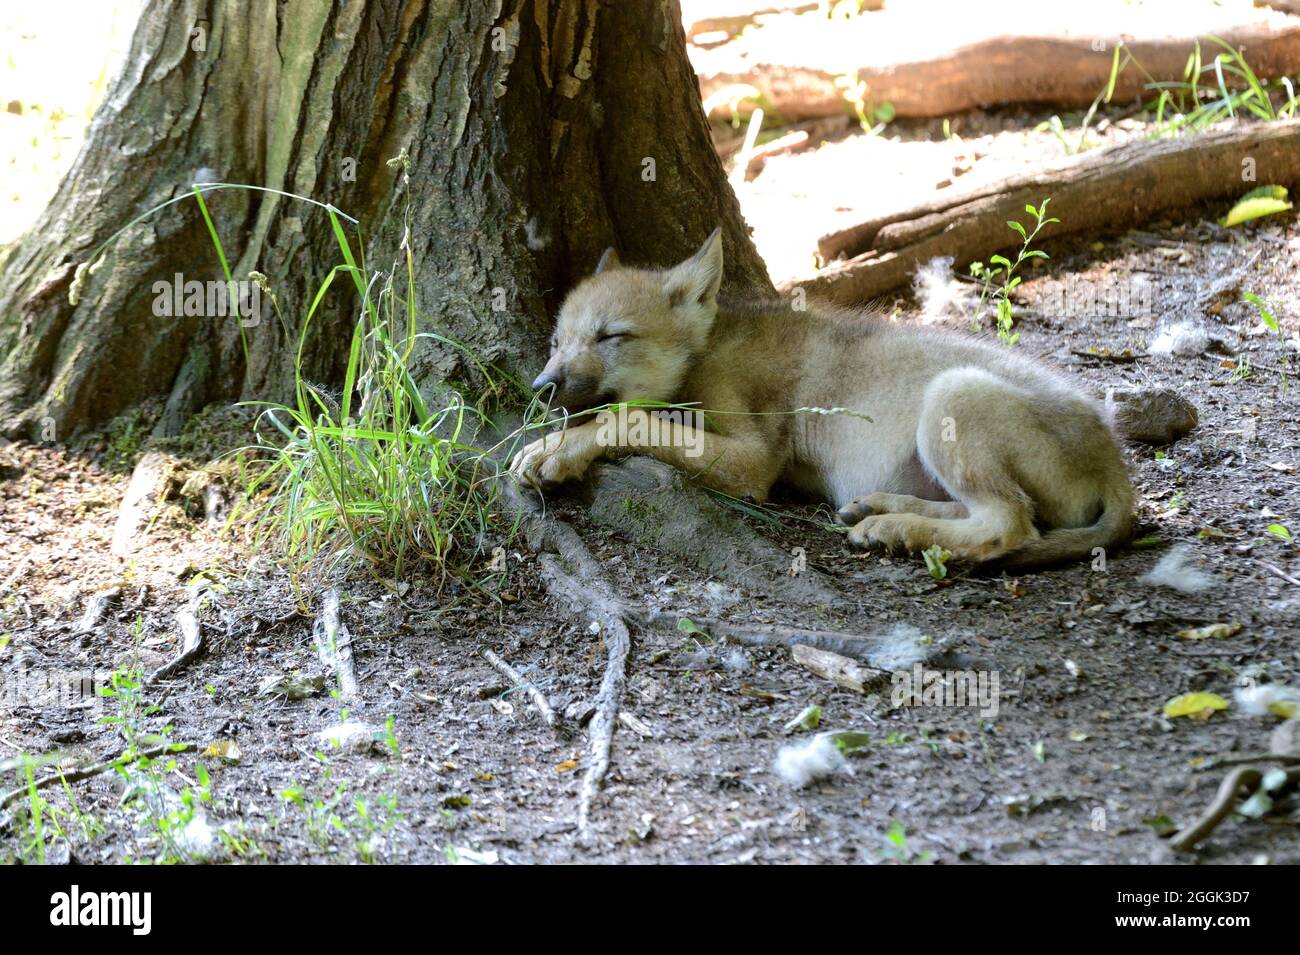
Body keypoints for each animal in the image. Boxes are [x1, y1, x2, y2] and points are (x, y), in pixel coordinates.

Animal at [509, 228, 1133, 568]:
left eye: (610, 336)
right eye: (557, 341)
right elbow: (629, 415)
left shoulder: (754, 461)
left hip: (953, 394)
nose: (540, 388)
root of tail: (1116, 462)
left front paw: (554, 450)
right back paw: (884, 511)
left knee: (1010, 524)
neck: (707, 349)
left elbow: (629, 419)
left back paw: (897, 530)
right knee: (992, 513)